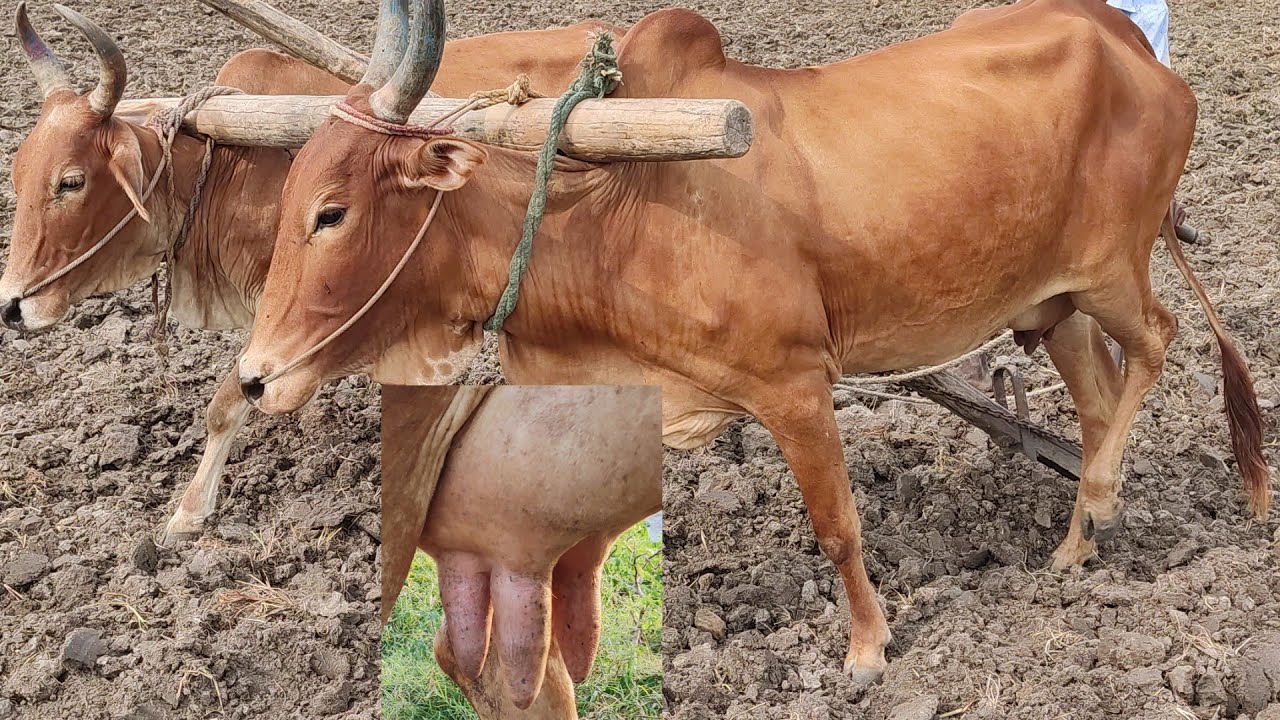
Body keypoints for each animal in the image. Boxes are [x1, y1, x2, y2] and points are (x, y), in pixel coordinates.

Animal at [0, 0, 625, 543]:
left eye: (71, 181)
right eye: (18, 172)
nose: (10, 307)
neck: (233, 163)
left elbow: (227, 401)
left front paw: (189, 511)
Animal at [236, 0, 1271, 682]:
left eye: (331, 212)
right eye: (285, 202)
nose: (253, 379)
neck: (616, 209)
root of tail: (1124, 36)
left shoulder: (794, 382)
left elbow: (838, 525)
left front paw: (867, 649)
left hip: (1114, 271)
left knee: (1162, 341)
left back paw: (1101, 501)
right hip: (1052, 302)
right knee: (1096, 396)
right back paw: (1077, 543)